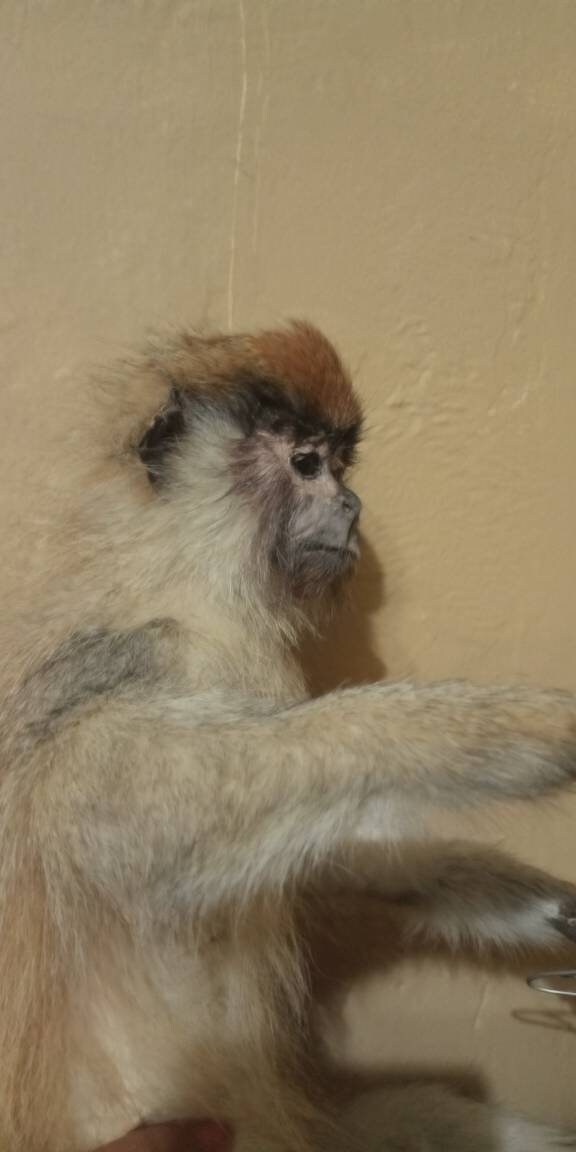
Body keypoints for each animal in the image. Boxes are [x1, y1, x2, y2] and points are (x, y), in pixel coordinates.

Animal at [2, 319, 576, 1152]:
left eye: (338, 464)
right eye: (305, 465)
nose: (352, 504)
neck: (186, 573)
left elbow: (317, 849)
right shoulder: (133, 658)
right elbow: (141, 827)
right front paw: (520, 729)